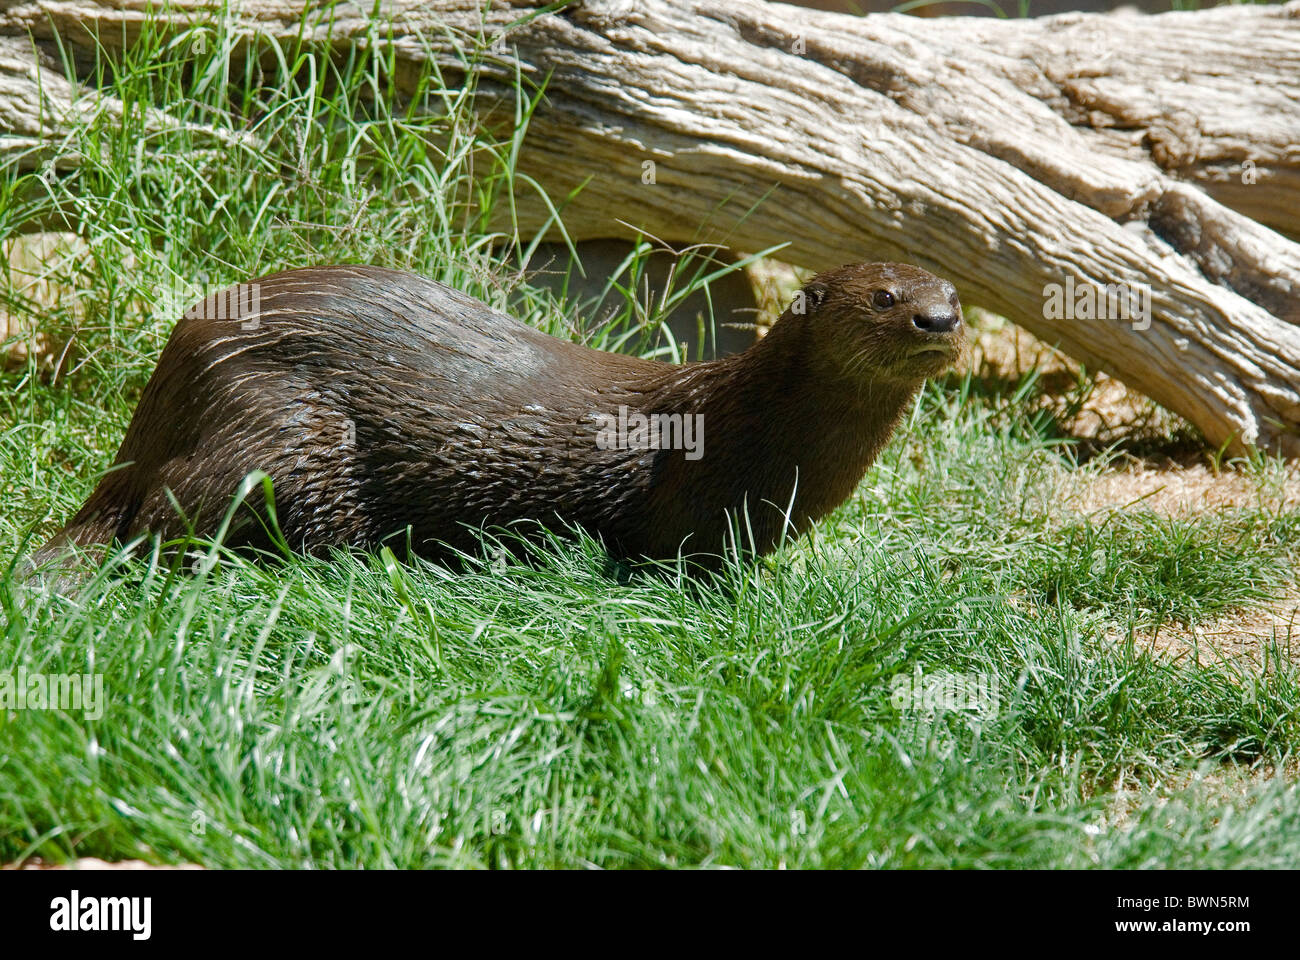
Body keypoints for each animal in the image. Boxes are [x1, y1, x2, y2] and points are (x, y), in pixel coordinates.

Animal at [35, 261, 963, 569]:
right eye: (885, 298)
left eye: (951, 294)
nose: (939, 321)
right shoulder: (691, 510)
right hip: (283, 436)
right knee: (167, 517)